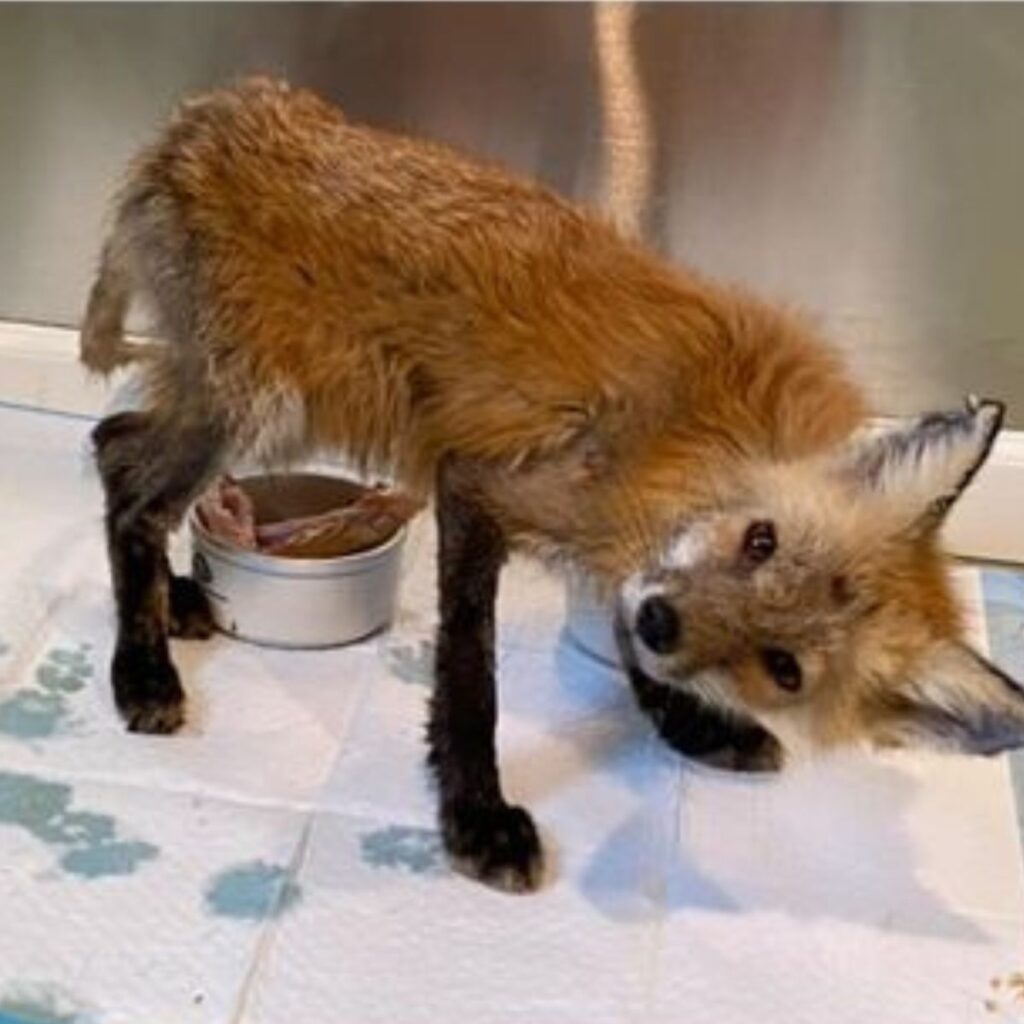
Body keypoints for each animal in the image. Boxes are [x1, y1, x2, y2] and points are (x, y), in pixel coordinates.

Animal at [80, 76, 1024, 893]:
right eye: (761, 539)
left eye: (783, 667)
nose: (666, 620)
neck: (689, 431)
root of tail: (205, 111)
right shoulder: (482, 488)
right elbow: (473, 682)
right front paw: (475, 817)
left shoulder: (623, 552)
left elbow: (627, 637)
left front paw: (687, 719)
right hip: (270, 409)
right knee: (132, 484)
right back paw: (143, 670)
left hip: (253, 402)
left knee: (111, 441)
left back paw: (175, 599)